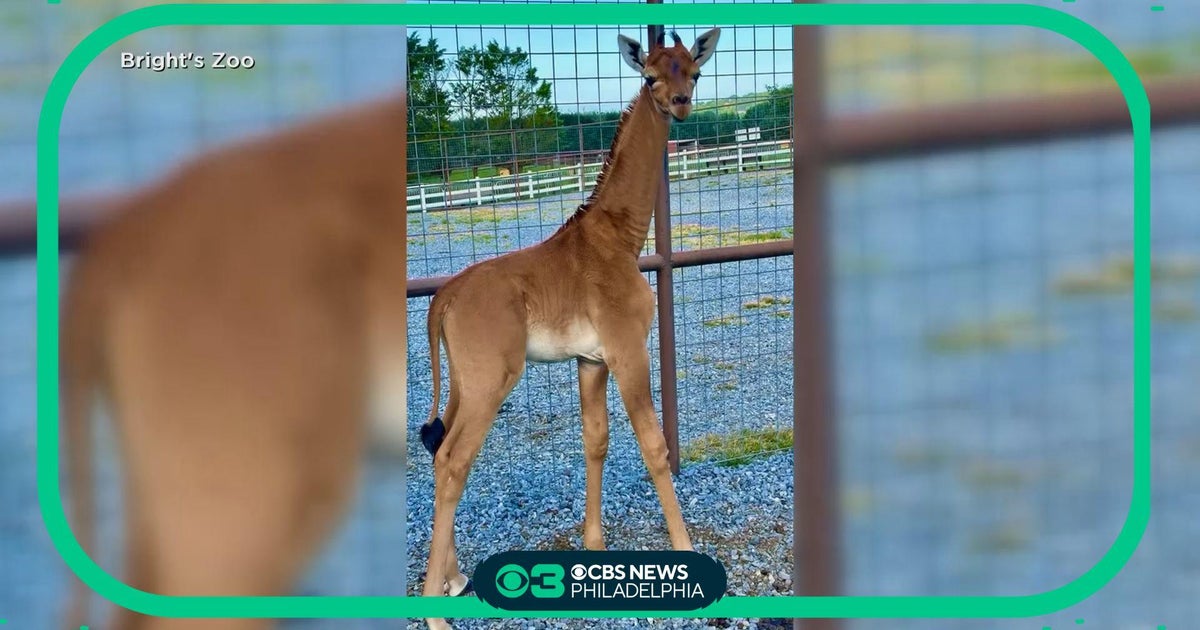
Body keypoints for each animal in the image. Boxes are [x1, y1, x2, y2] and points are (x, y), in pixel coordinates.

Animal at [418, 28, 721, 629]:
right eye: (650, 75)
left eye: (694, 71)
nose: (680, 104)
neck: (621, 239)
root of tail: (443, 297)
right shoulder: (628, 349)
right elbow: (654, 445)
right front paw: (684, 548)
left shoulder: (591, 359)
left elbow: (596, 440)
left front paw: (595, 545)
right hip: (491, 381)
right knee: (453, 460)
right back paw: (436, 610)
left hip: (463, 381)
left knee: (440, 452)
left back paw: (454, 577)